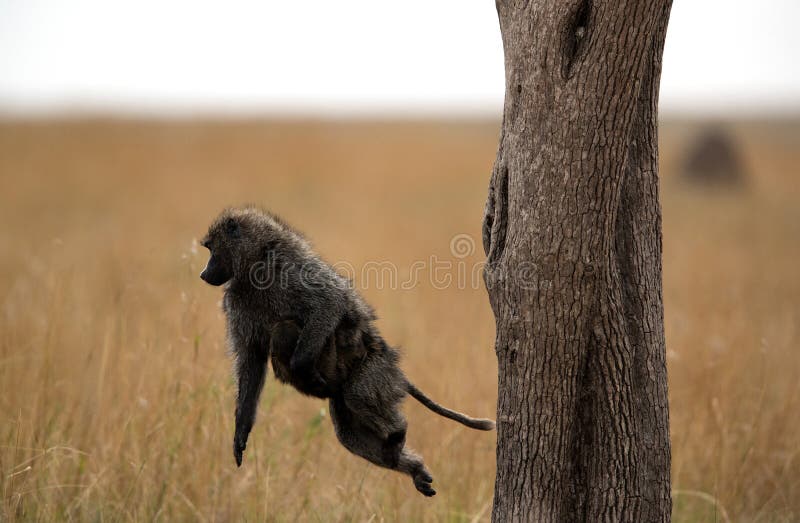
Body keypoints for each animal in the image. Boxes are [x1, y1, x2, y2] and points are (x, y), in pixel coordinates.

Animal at [200, 207, 495, 497]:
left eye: (212, 250)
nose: (204, 274)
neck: (258, 262)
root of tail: (391, 361)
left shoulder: (291, 272)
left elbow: (329, 302)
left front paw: (303, 367)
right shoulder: (237, 300)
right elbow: (251, 360)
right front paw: (240, 434)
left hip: (374, 370)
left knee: (350, 388)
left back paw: (398, 432)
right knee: (347, 432)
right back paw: (411, 467)